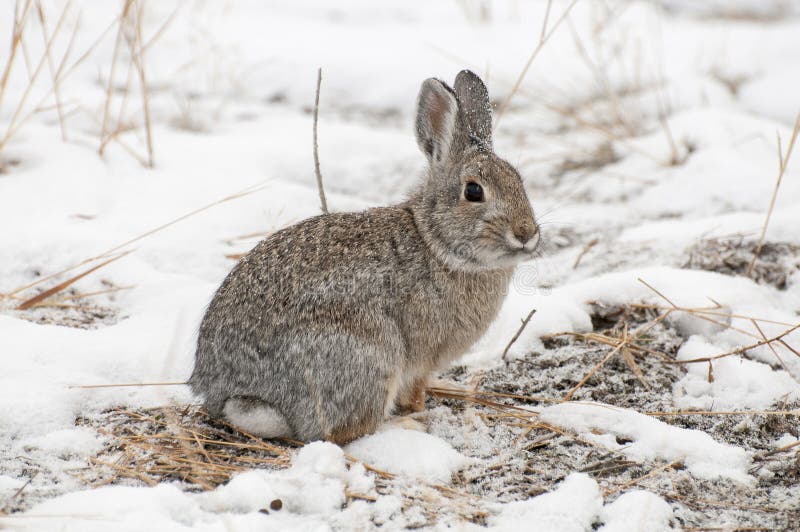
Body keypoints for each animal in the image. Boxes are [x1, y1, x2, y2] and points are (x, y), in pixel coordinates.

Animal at [189, 70, 540, 444]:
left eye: (519, 181)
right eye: (473, 191)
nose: (526, 233)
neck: (434, 240)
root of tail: (234, 393)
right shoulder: (420, 358)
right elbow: (414, 391)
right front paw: (420, 410)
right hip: (368, 356)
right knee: (345, 430)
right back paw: (405, 426)